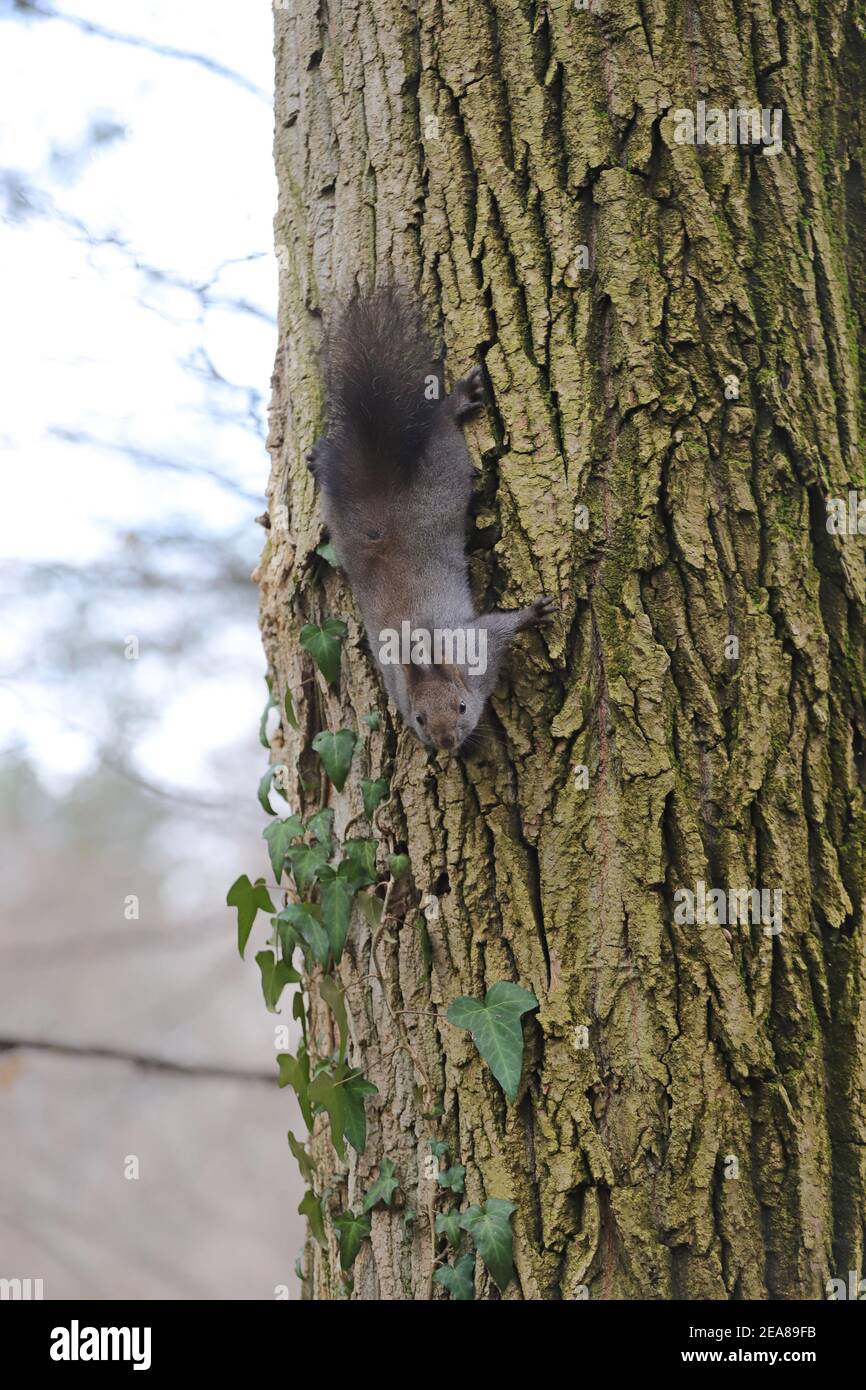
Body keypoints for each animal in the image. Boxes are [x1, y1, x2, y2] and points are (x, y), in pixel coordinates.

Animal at [306, 288, 555, 754]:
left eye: (461, 706)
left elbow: (501, 626)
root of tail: (379, 489)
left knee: (442, 428)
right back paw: (320, 457)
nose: (444, 743)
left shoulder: (477, 647)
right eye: (419, 719)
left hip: (443, 473)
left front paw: (533, 612)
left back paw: (455, 401)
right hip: (339, 510)